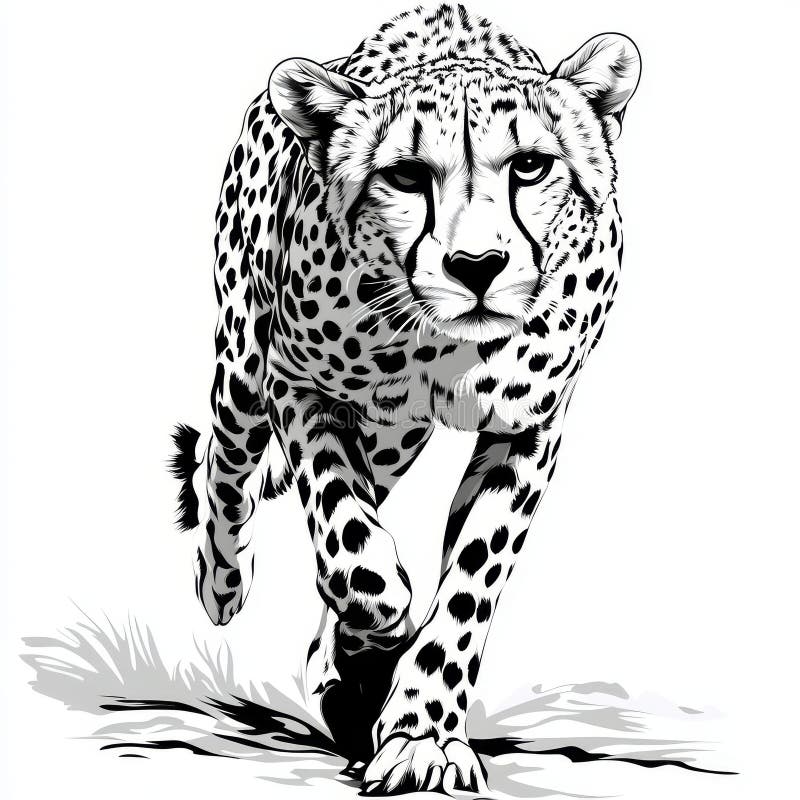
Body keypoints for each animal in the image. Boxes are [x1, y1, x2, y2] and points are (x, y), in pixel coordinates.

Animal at [169, 3, 641, 794]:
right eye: (407, 176)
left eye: (530, 166)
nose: (477, 266)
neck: (441, 346)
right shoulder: (299, 383)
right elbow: (345, 531)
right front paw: (380, 614)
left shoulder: (530, 426)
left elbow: (471, 583)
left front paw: (422, 730)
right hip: (242, 360)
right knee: (226, 463)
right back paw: (228, 584)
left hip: (394, 438)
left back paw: (348, 675)